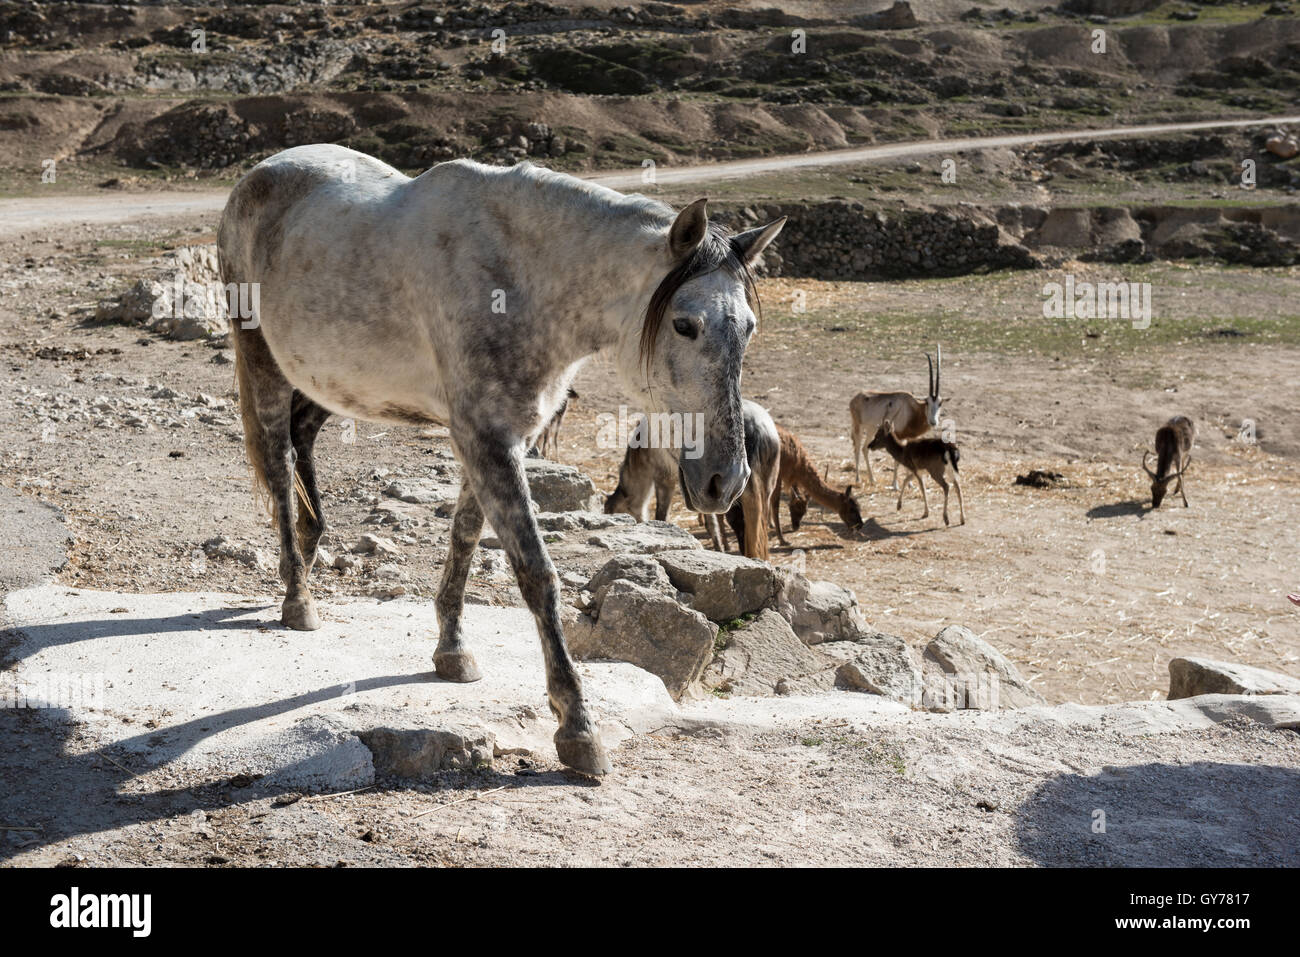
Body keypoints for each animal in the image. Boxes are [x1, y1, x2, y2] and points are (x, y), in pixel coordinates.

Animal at [217, 145, 785, 775]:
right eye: (685, 325)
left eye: (749, 329)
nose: (725, 481)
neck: (521, 281)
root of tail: (262, 172)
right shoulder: (487, 440)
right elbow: (537, 574)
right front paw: (577, 726)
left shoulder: (493, 438)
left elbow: (465, 536)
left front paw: (452, 650)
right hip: (261, 358)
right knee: (278, 460)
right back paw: (298, 596)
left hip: (328, 380)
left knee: (303, 439)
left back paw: (310, 555)